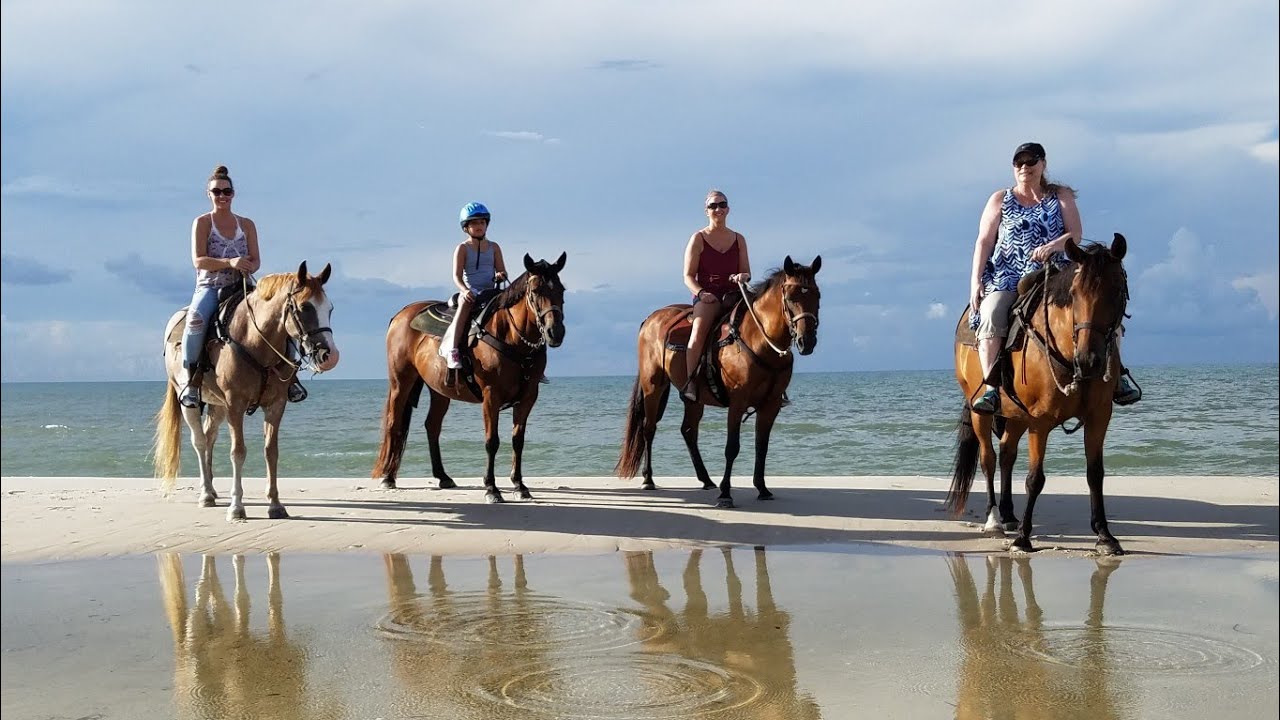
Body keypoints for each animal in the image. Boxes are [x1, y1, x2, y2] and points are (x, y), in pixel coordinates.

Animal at [152, 262, 338, 521]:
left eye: (329, 308)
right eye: (304, 307)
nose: (330, 356)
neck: (254, 341)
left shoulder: (275, 404)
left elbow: (271, 451)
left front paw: (275, 504)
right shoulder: (235, 404)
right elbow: (237, 452)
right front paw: (237, 507)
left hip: (217, 405)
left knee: (209, 437)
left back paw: (212, 489)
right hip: (189, 401)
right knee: (199, 442)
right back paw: (205, 494)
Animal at [372, 253, 567, 502]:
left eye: (561, 289)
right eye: (535, 291)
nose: (556, 332)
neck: (511, 337)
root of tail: (401, 314)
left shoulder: (528, 397)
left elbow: (518, 440)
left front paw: (520, 486)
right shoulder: (491, 395)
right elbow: (491, 441)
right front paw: (492, 488)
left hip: (439, 390)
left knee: (432, 426)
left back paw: (443, 476)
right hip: (401, 382)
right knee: (394, 423)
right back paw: (388, 477)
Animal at [616, 255, 822, 508]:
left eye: (817, 296)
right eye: (791, 297)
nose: (807, 341)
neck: (759, 340)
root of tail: (650, 320)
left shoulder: (771, 405)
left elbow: (761, 446)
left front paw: (762, 488)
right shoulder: (738, 402)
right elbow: (732, 447)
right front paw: (725, 493)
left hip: (693, 398)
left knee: (688, 431)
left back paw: (705, 479)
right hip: (653, 386)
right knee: (649, 428)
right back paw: (648, 479)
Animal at [948, 234, 1130, 555]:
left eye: (1117, 289)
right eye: (1074, 293)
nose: (1089, 360)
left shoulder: (1099, 417)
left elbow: (1095, 474)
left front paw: (1105, 536)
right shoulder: (1040, 422)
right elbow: (1035, 479)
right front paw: (1023, 537)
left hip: (1016, 416)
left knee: (1007, 453)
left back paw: (1009, 514)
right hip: (980, 412)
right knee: (989, 458)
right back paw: (994, 519)